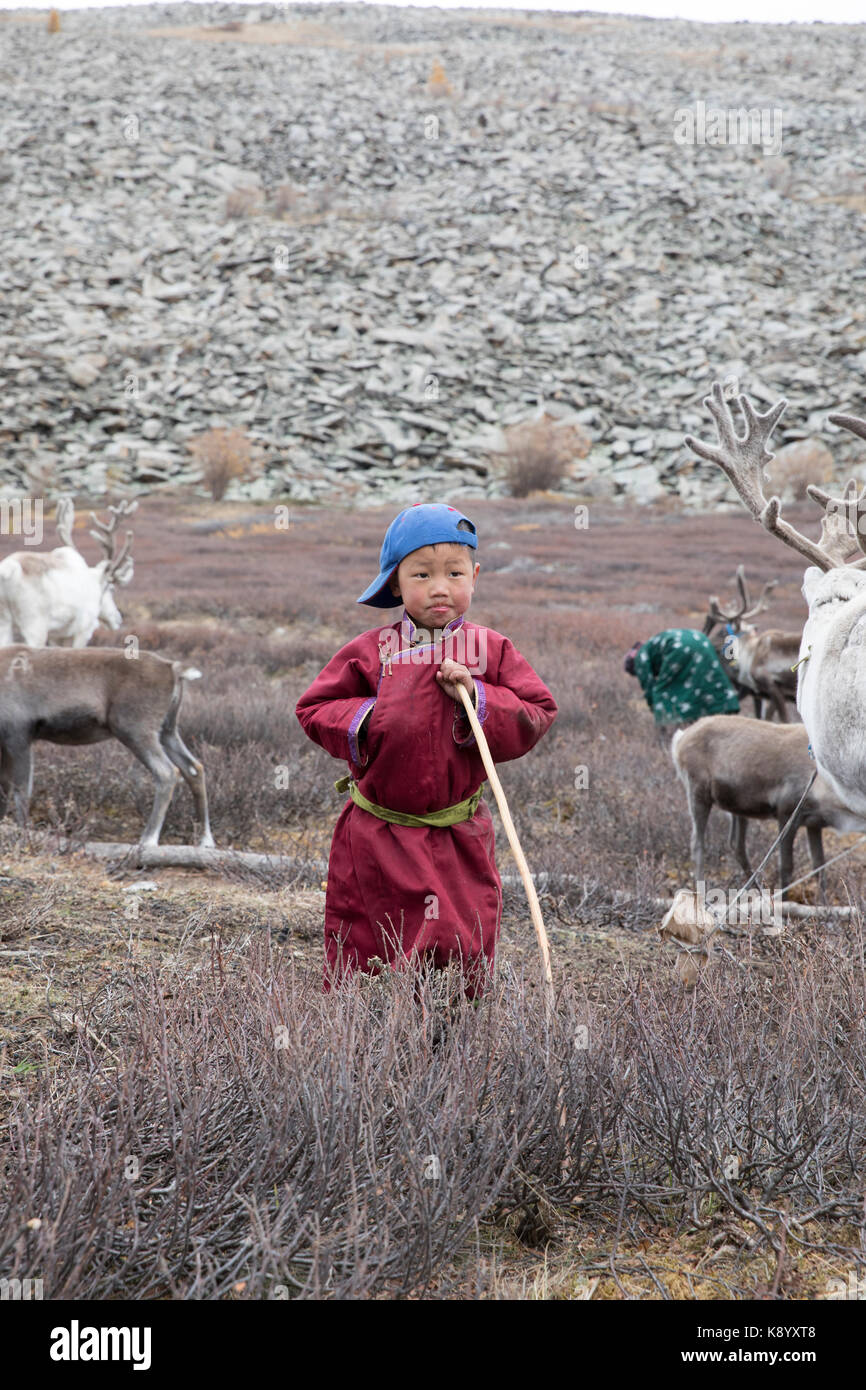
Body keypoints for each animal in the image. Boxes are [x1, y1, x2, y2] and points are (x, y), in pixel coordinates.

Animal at [0, 498, 136, 648]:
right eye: (111, 588)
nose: (118, 619)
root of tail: (8, 570)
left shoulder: (58, 637)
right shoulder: (84, 629)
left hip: (4, 622)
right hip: (34, 624)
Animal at [0, 646, 214, 850]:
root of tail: (173, 669)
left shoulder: (20, 736)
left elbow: (21, 791)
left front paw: (22, 835)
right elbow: (4, 787)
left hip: (135, 729)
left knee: (167, 772)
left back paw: (148, 839)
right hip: (167, 730)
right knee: (194, 769)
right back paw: (205, 840)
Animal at [672, 715, 866, 898]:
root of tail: (679, 739)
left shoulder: (813, 823)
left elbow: (819, 867)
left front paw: (823, 907)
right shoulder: (786, 812)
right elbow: (786, 866)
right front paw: (784, 901)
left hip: (737, 806)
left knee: (736, 845)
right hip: (698, 791)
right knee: (697, 843)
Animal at [703, 564, 802, 721]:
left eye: (722, 631)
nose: (707, 639)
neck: (750, 655)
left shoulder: (773, 687)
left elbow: (783, 720)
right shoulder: (766, 694)